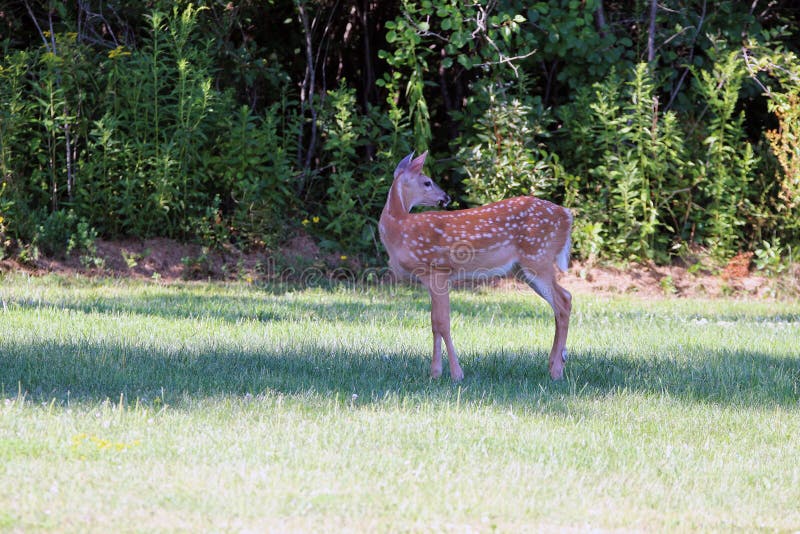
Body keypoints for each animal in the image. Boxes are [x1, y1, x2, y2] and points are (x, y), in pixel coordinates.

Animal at [379, 151, 573, 382]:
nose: (446, 197)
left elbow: (442, 323)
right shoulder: (430, 278)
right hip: (524, 268)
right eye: (427, 182)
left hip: (538, 256)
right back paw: (555, 362)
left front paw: (456, 374)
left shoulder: (438, 270)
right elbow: (434, 324)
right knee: (564, 299)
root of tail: (567, 216)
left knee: (562, 302)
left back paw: (557, 371)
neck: (399, 228)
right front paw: (435, 373)